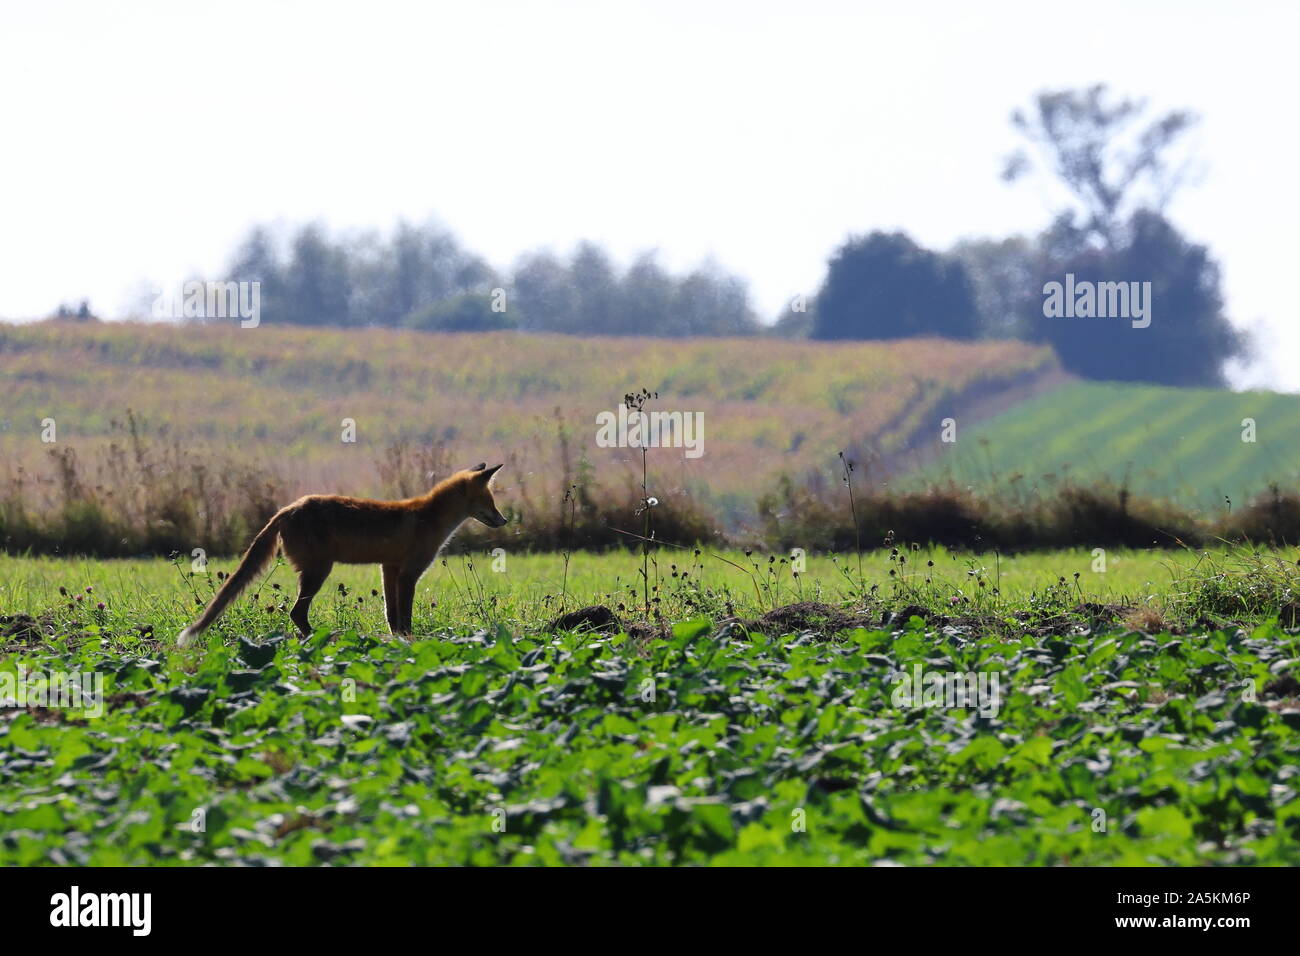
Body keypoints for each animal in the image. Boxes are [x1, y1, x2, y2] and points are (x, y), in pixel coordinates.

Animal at [177, 463, 508, 646]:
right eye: (490, 502)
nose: (504, 520)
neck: (429, 517)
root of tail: (287, 508)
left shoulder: (389, 567)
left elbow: (391, 615)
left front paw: (397, 642)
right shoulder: (409, 572)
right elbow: (404, 616)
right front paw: (411, 642)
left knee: (295, 612)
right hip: (319, 571)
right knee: (296, 612)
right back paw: (319, 640)